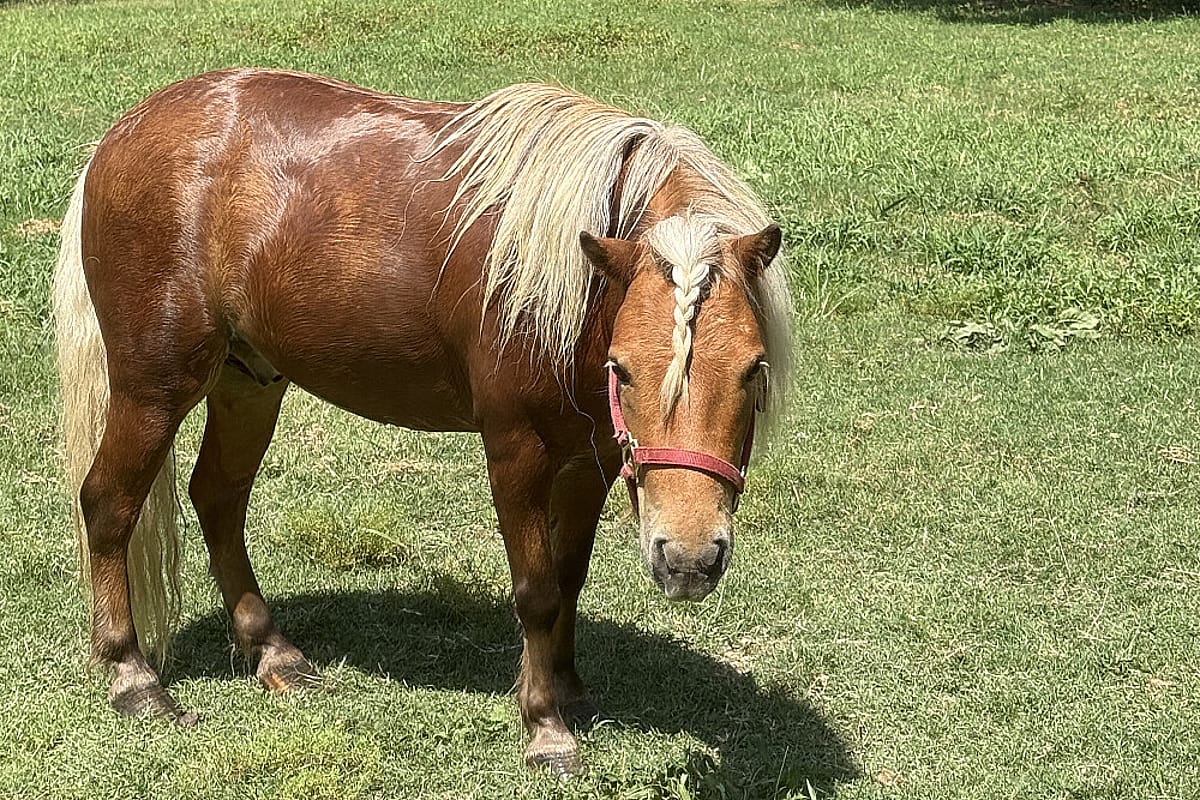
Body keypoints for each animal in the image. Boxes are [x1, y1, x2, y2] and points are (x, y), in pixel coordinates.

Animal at [53, 69, 792, 775]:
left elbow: (569, 576)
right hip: (154, 388)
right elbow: (536, 590)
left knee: (217, 500)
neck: (572, 282)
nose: (690, 559)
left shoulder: (595, 457)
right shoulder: (516, 448)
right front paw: (544, 727)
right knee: (108, 504)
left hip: (249, 381)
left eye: (753, 369)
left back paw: (272, 652)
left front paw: (569, 688)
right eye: (625, 368)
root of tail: (120, 137)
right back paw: (132, 676)